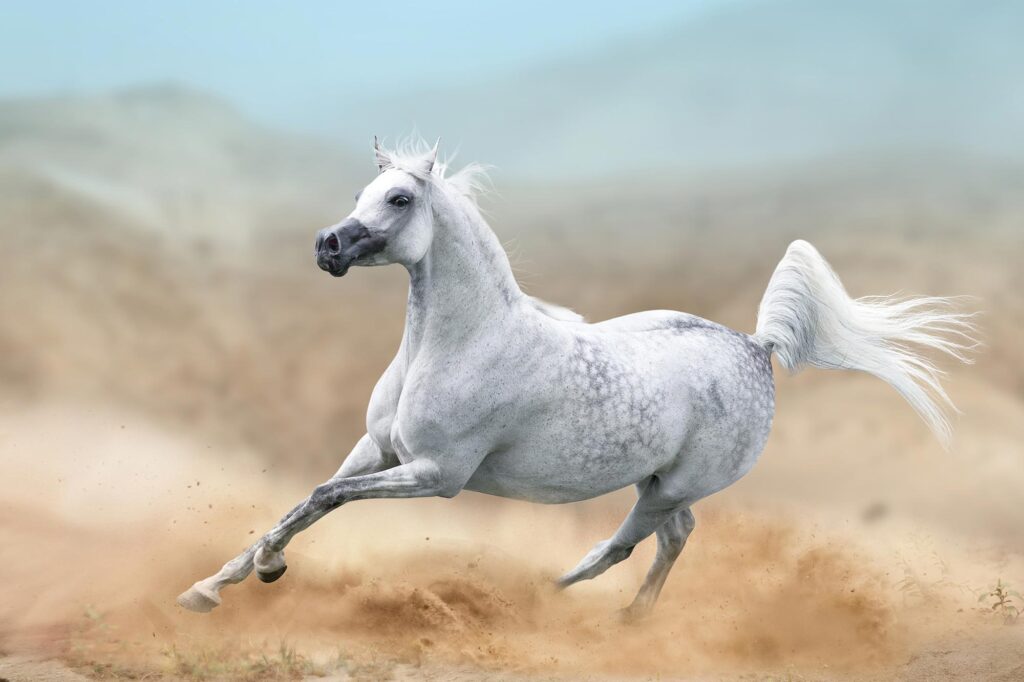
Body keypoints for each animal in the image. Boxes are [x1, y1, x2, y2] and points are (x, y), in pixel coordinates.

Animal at [177, 139, 975, 618]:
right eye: (359, 191)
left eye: (399, 200)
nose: (327, 246)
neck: (462, 342)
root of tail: (755, 347)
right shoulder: (376, 449)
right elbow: (307, 501)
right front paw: (214, 585)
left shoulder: (437, 474)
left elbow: (322, 497)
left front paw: (262, 574)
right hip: (657, 482)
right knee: (670, 538)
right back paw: (618, 618)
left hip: (672, 484)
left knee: (630, 543)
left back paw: (551, 607)